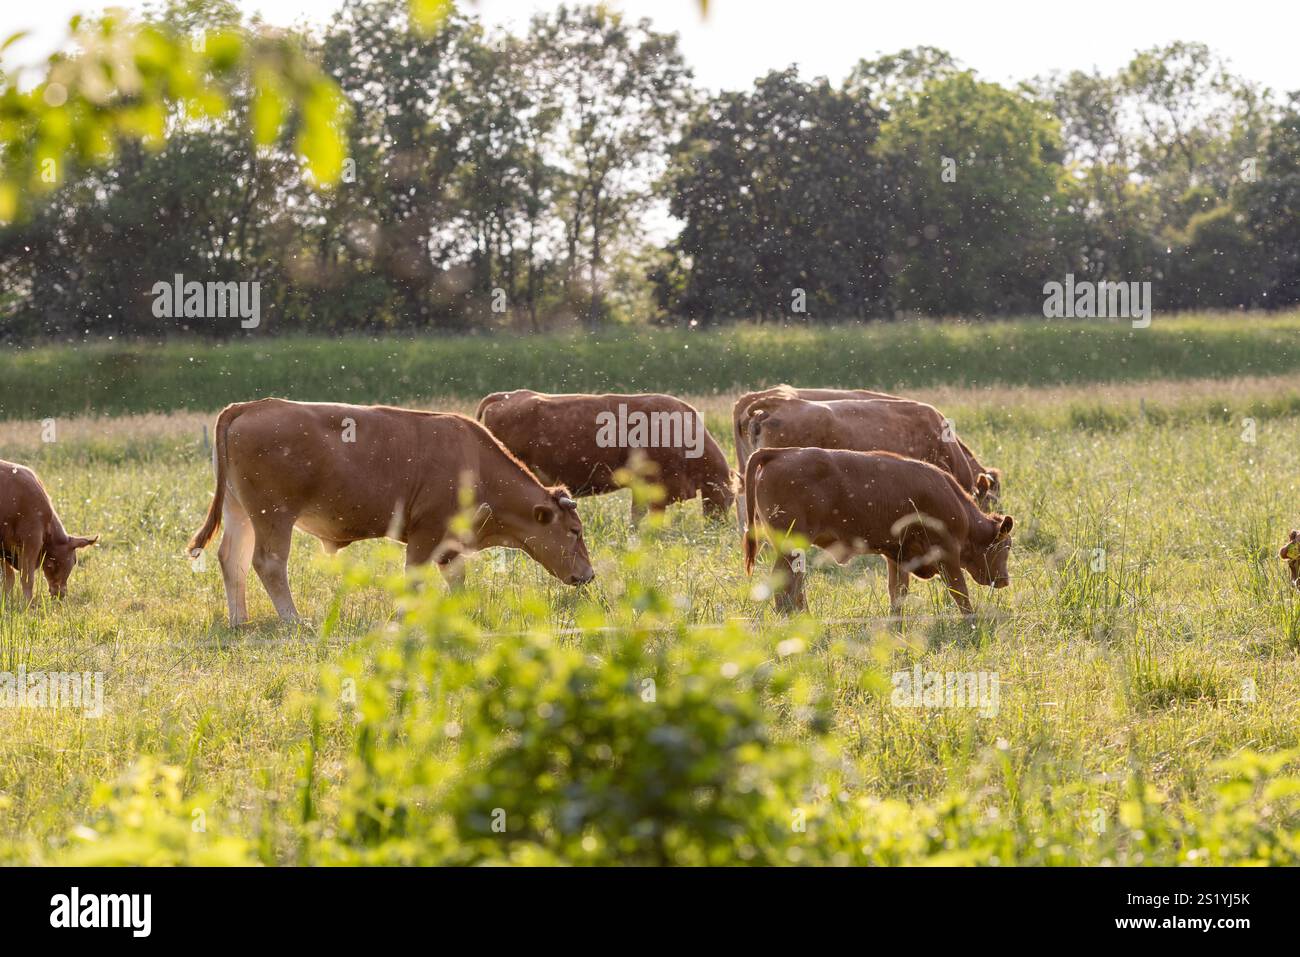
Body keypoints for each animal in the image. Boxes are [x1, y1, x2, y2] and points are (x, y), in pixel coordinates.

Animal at [1, 459, 98, 604]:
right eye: (74, 561)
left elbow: (8, 579)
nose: (60, 595)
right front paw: (28, 605)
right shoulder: (31, 539)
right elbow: (26, 578)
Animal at [188, 399, 595, 627]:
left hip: (241, 512)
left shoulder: (449, 544)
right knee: (269, 562)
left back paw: (239, 621)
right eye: (574, 530)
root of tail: (250, 406)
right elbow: (413, 578)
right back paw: (293, 620)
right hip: (273, 514)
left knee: (233, 559)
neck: (474, 461)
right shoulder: (426, 534)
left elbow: (456, 580)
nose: (588, 574)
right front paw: (401, 618)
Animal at [742, 447, 1014, 615]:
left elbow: (897, 594)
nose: (1005, 580)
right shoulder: (947, 556)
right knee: (786, 585)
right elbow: (960, 592)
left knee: (795, 585)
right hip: (791, 548)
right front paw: (971, 621)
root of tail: (780, 453)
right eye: (1005, 547)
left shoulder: (898, 557)